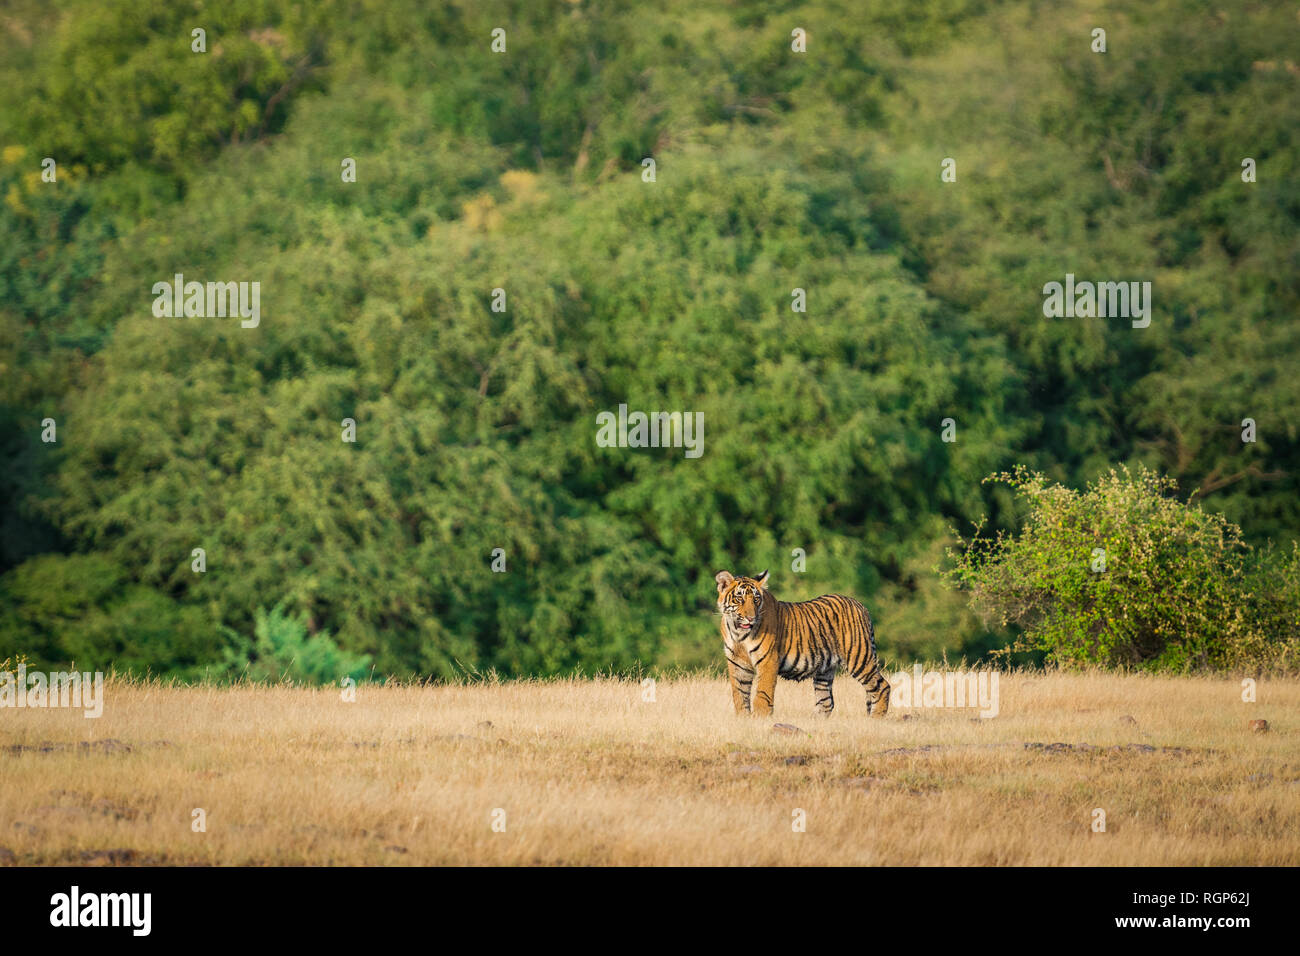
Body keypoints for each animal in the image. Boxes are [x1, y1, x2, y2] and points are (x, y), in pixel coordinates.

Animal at [715, 569, 890, 718]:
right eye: (740, 598)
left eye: (756, 599)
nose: (751, 618)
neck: (738, 633)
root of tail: (861, 605)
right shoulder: (737, 663)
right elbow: (739, 694)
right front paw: (743, 719)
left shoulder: (768, 661)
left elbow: (763, 693)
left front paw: (760, 719)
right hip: (824, 671)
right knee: (826, 702)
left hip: (858, 658)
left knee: (882, 687)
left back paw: (875, 720)